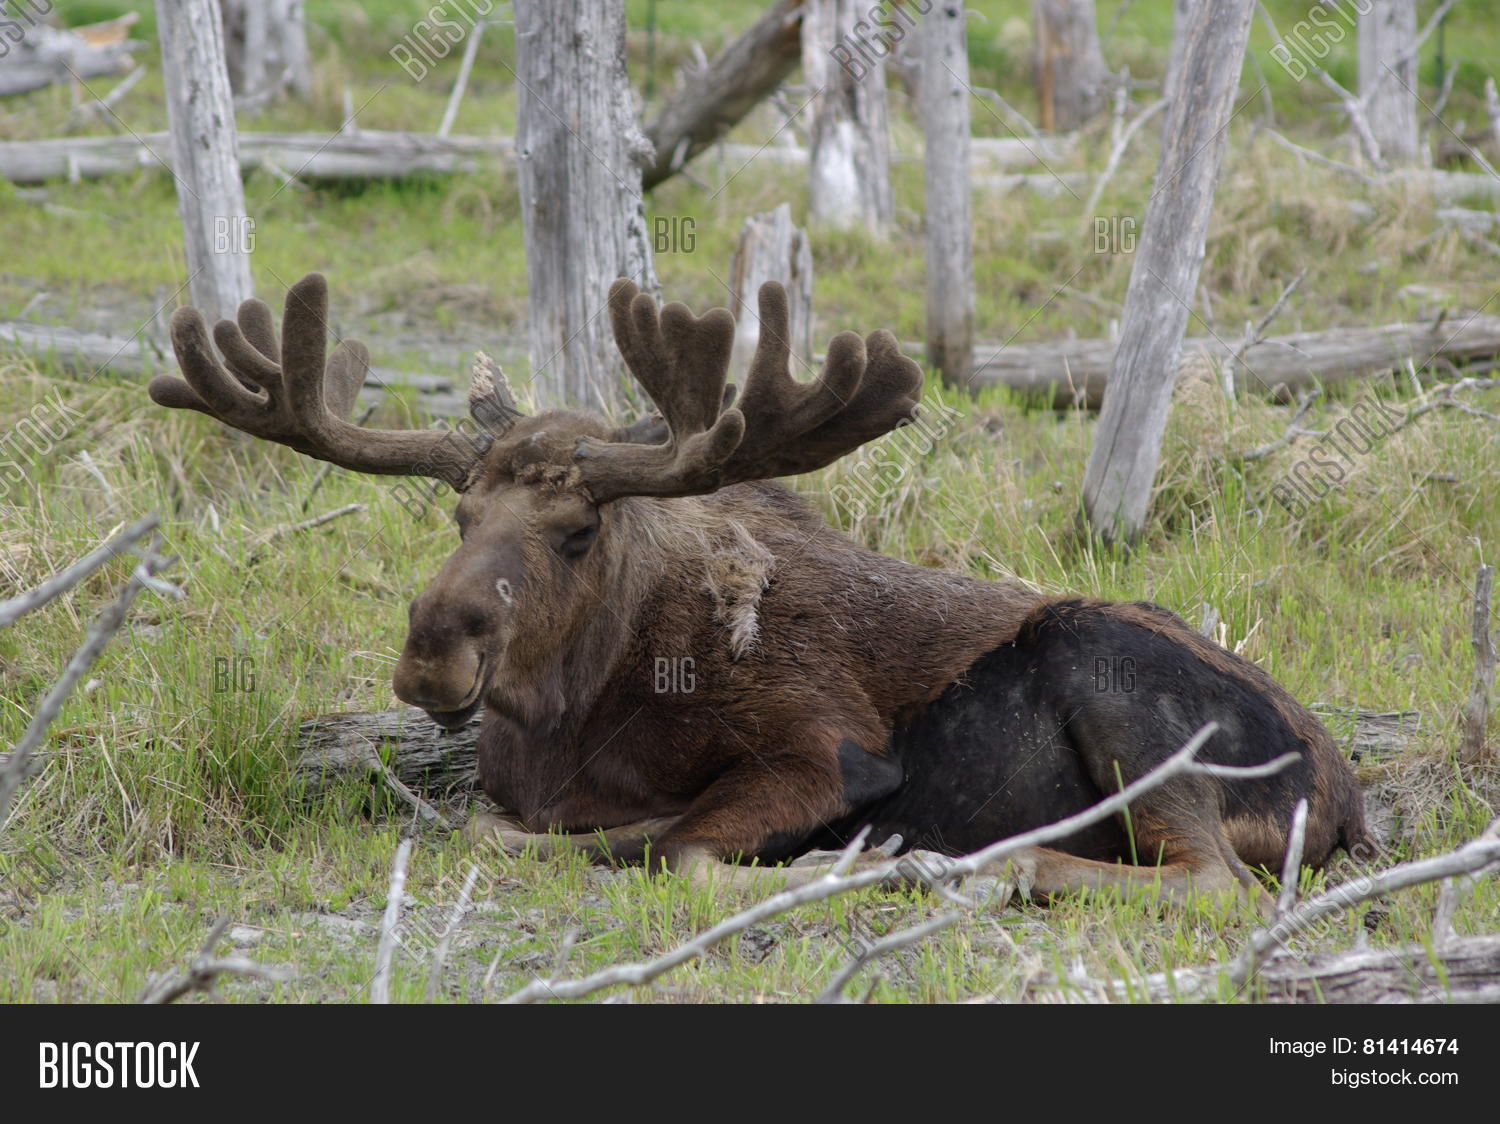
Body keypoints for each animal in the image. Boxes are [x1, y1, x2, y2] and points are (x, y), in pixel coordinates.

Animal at [149, 272, 1372, 904]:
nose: (433, 651)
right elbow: (496, 827)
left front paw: (822, 860)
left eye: (579, 530)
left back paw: (968, 863)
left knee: (1208, 880)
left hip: (1114, 682)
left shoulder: (825, 749)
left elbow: (681, 848)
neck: (570, 718)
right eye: (458, 518)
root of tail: (1346, 798)